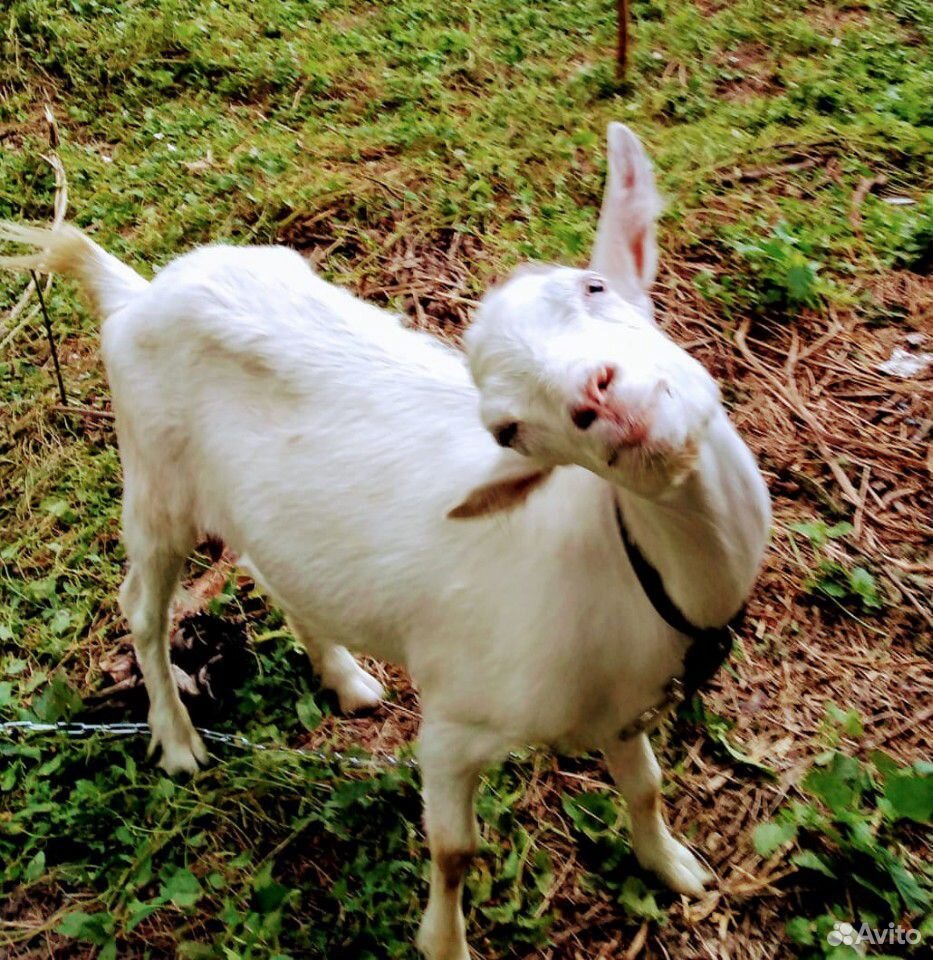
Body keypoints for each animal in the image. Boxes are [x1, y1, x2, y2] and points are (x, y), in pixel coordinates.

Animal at [0, 124, 770, 960]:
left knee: (271, 568)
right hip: (153, 477)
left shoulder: (622, 706)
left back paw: (343, 677)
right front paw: (444, 944)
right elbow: (454, 850)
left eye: (594, 287)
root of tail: (134, 294)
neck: (624, 571)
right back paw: (176, 740)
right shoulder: (456, 722)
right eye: (508, 428)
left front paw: (673, 867)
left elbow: (645, 785)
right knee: (140, 603)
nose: (595, 400)